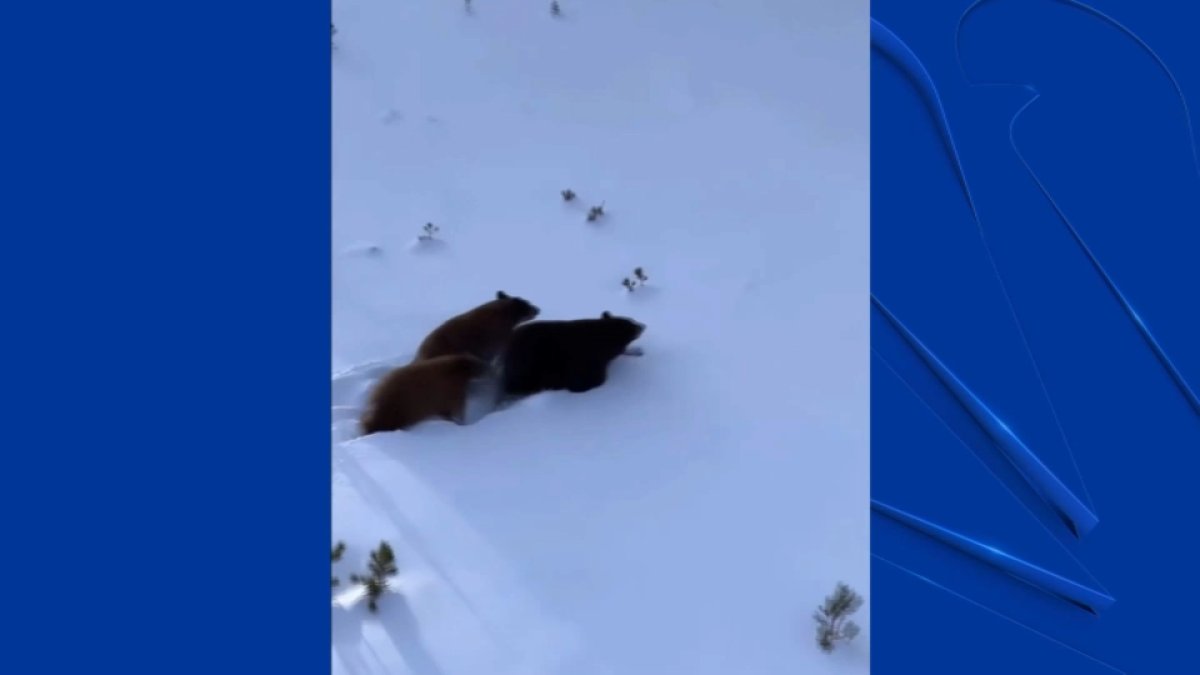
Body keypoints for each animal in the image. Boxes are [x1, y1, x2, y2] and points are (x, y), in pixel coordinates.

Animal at [499, 310, 646, 397]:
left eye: (632, 320)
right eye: (633, 325)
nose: (643, 325)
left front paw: (636, 351)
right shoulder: (585, 358)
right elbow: (588, 379)